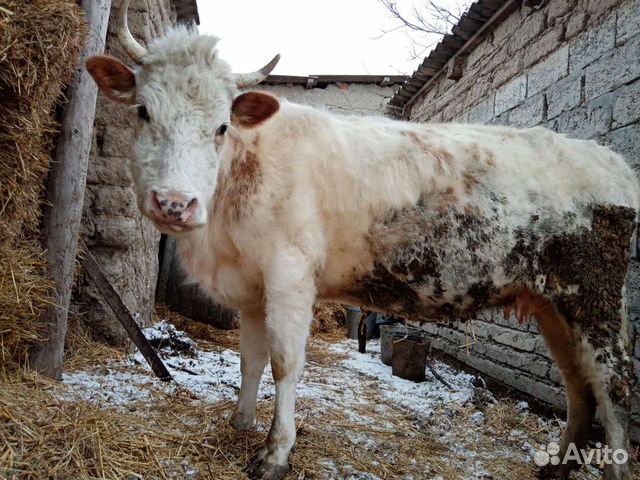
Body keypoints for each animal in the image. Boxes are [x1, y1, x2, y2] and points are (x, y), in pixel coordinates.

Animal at [86, 2, 638, 479]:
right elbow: (251, 359)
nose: (174, 203)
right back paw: (557, 466)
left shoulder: (290, 276)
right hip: (553, 305)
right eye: (142, 112)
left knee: (614, 387)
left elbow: (285, 363)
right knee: (579, 388)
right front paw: (241, 423)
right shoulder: (252, 286)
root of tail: (608, 160)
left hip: (595, 300)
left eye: (222, 126)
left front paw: (275, 453)